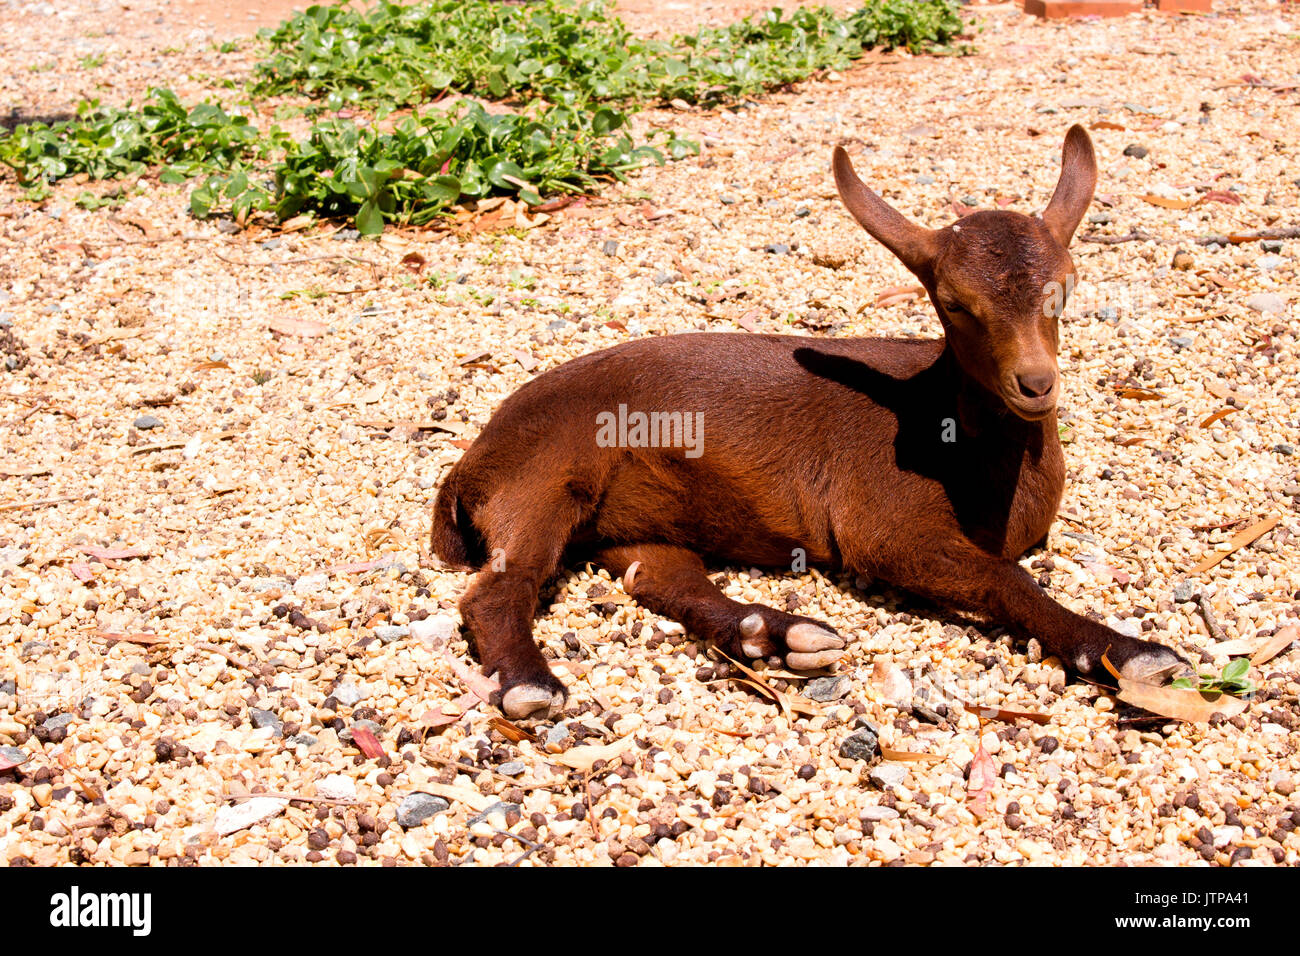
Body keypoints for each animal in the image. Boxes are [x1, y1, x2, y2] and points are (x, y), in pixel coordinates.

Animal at [432, 125, 1193, 719]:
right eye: (953, 302)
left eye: (1066, 287)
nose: (1034, 383)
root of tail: (468, 464)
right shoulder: (881, 523)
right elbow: (1004, 578)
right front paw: (1131, 652)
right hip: (545, 474)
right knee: (500, 587)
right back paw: (531, 685)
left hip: (633, 523)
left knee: (658, 577)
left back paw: (773, 634)